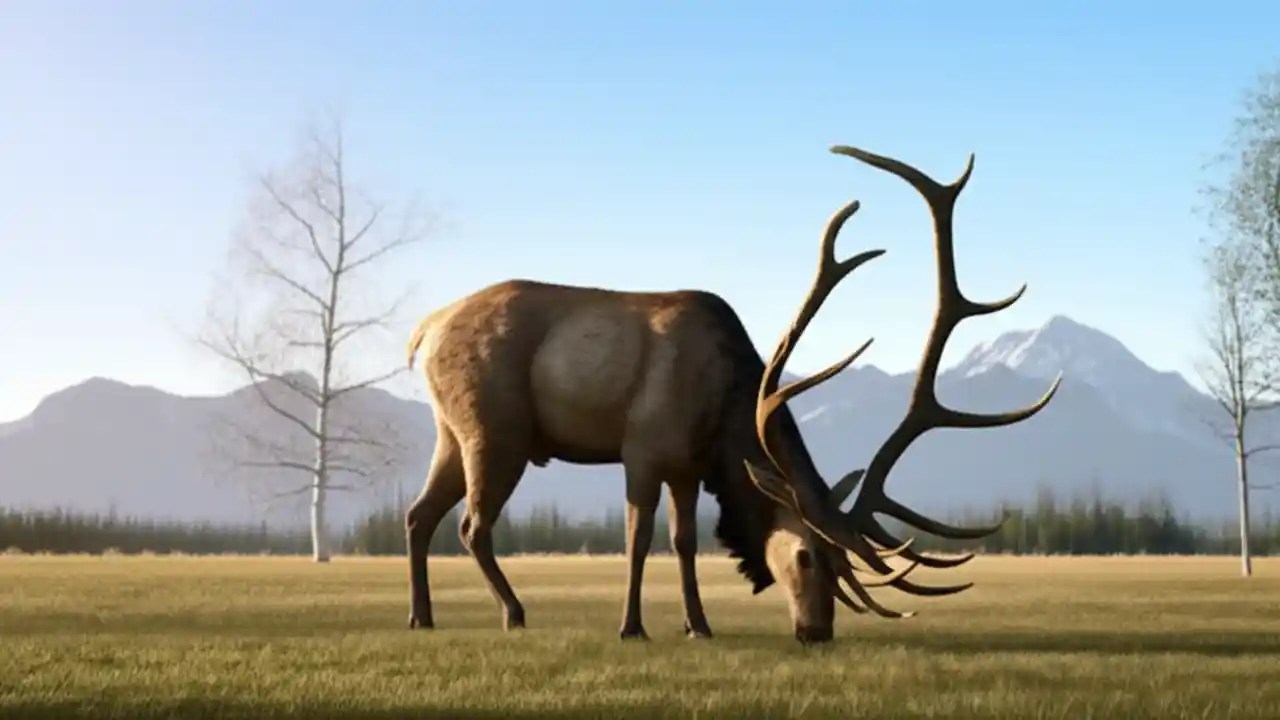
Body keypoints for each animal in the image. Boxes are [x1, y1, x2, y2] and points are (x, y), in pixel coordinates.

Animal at [404, 145, 1061, 643]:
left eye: (841, 564)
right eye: (806, 555)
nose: (816, 632)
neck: (724, 420)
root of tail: (425, 328)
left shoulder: (687, 466)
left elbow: (685, 543)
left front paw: (698, 624)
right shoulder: (643, 449)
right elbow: (638, 541)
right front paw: (632, 626)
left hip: (449, 433)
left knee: (418, 514)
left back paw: (422, 616)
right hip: (496, 430)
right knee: (472, 525)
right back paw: (513, 613)